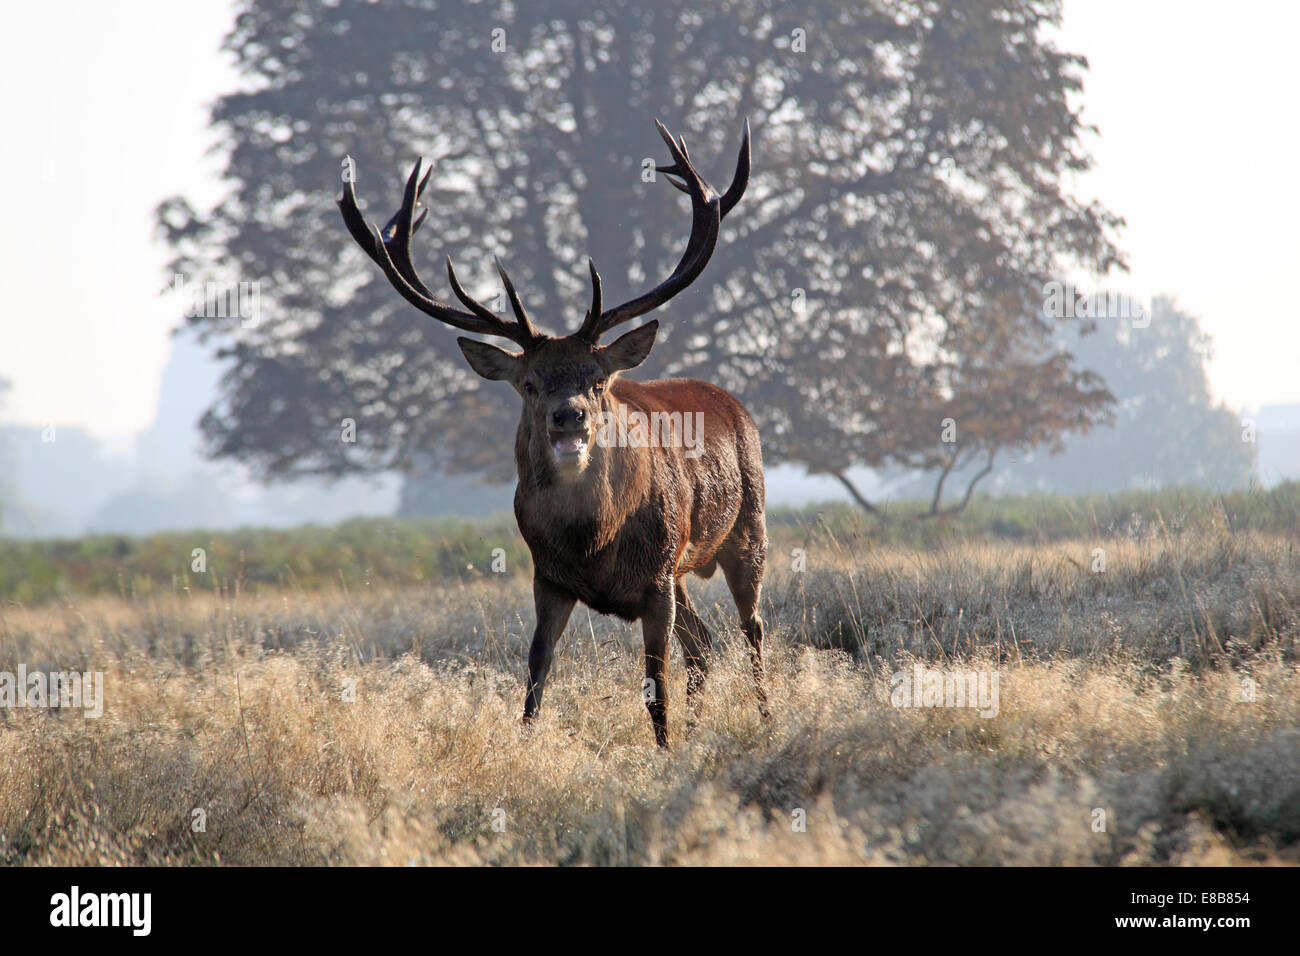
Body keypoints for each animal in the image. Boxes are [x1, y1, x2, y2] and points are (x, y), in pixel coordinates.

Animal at [338, 119, 767, 748]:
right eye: (530, 383)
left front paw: (667, 750)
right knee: (706, 644)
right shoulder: (549, 578)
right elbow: (535, 677)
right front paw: (525, 742)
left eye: (597, 379)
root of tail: (732, 402)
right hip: (687, 570)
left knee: (752, 630)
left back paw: (767, 715)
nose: (570, 417)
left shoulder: (657, 574)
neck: (594, 540)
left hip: (747, 528)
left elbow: (654, 687)